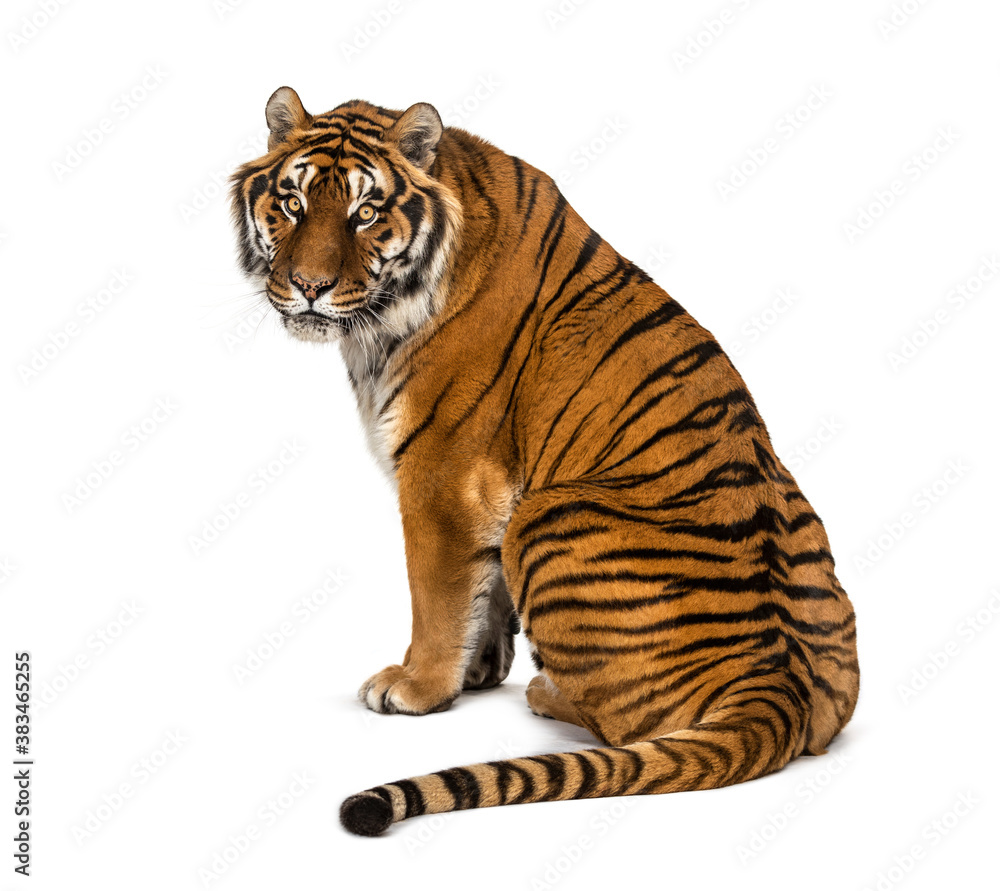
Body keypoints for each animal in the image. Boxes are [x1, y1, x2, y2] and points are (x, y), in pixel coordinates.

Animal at [230, 87, 860, 837]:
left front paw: (418, 687)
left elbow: (436, 595)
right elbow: (481, 590)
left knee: (624, 728)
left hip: (546, 514)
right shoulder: (489, 492)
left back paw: (544, 689)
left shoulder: (444, 475)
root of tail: (778, 679)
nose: (309, 287)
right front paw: (476, 670)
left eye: (366, 212)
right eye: (292, 202)